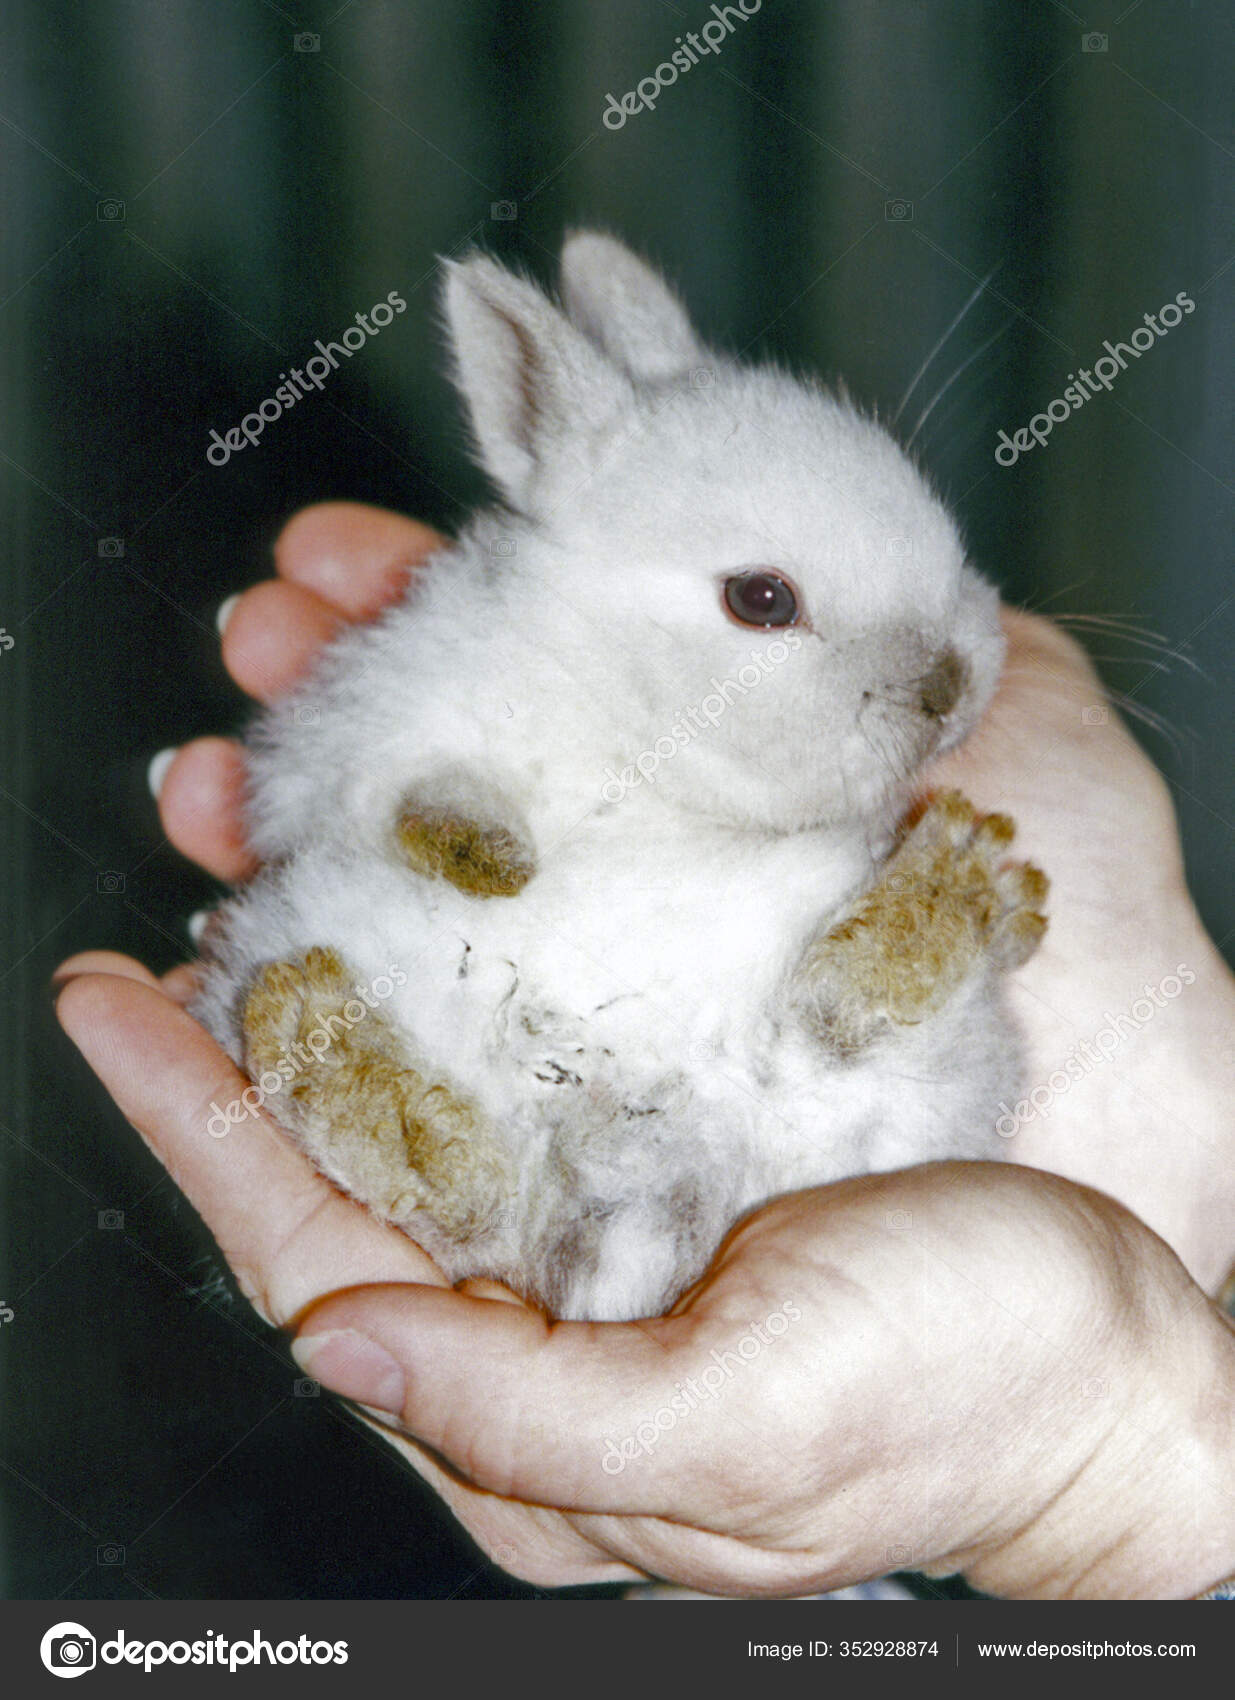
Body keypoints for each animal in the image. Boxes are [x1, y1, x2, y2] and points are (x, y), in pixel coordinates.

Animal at [192, 230, 1047, 1322]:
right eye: (760, 599)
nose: (947, 686)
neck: (633, 734)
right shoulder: (363, 734)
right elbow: (401, 795)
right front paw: (484, 856)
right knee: (487, 1214)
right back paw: (338, 1062)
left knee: (831, 1015)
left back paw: (957, 891)